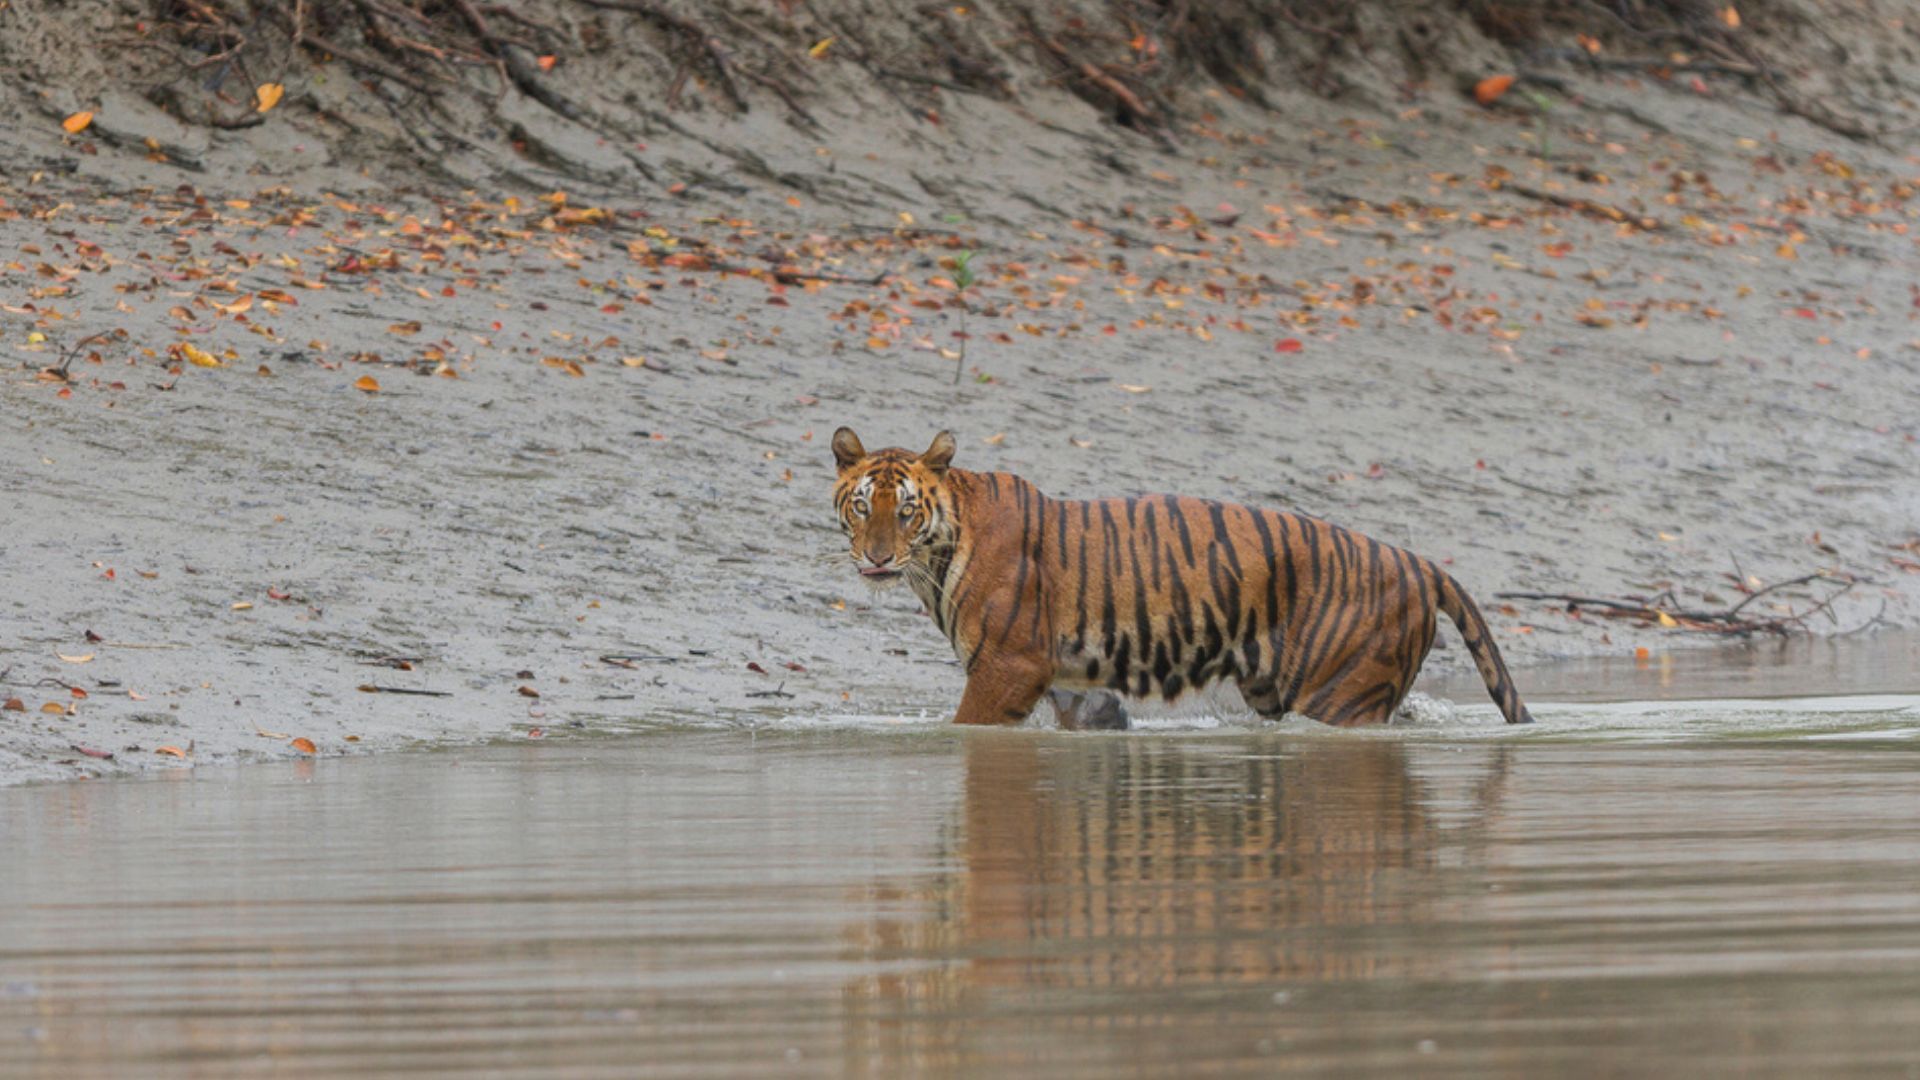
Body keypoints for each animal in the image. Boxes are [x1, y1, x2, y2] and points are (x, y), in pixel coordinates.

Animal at [830, 428, 1534, 731]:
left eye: (907, 510)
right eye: (863, 506)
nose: (878, 558)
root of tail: (1417, 559)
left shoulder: (1009, 667)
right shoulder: (1073, 688)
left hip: (1344, 697)